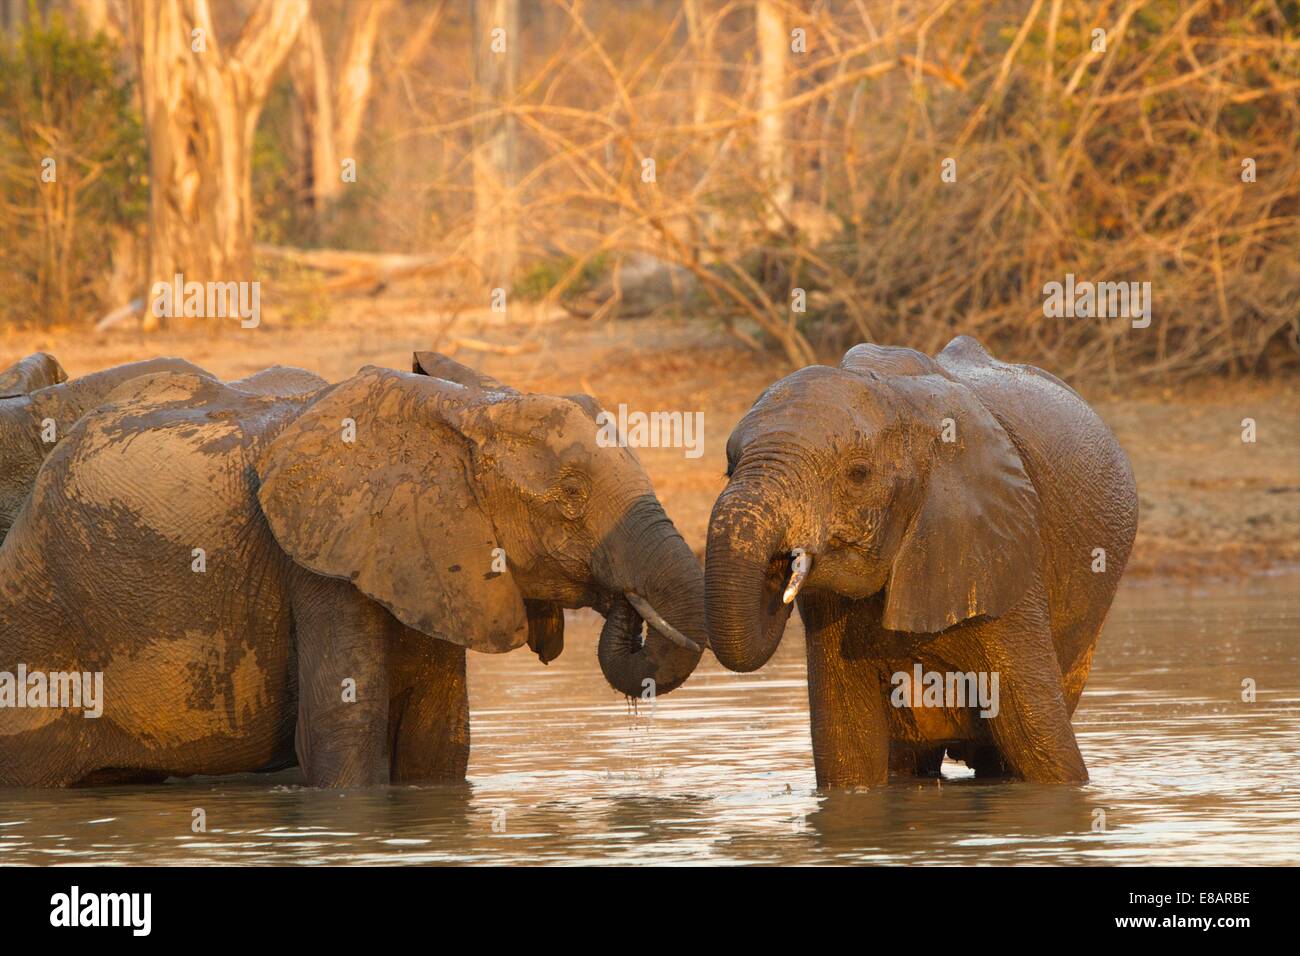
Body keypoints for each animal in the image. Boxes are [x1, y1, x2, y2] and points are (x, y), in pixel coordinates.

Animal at [704, 336, 1137, 787]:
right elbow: (848, 751)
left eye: (857, 474)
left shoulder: (1004, 551)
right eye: (730, 468)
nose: (779, 570)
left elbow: (1044, 748)